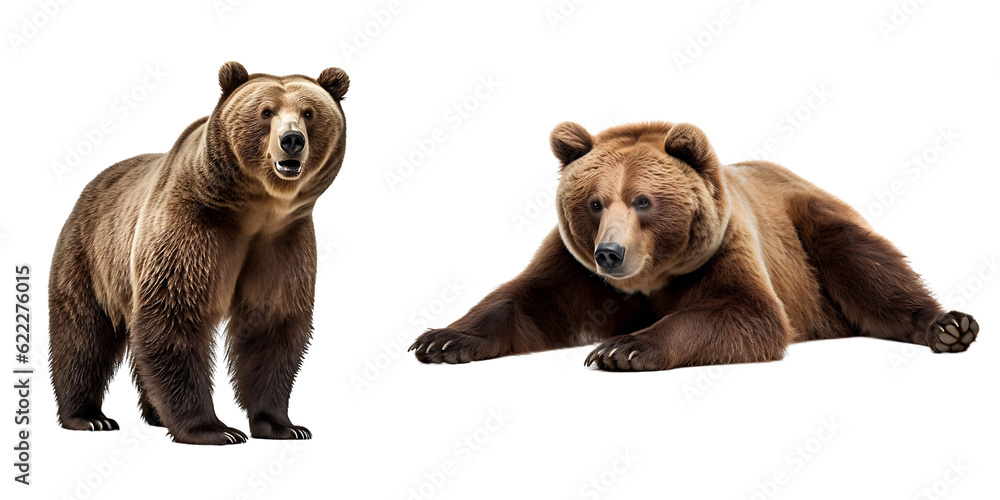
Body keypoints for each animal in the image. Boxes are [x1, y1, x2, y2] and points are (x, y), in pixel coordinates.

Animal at [48, 61, 349, 444]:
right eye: (266, 111)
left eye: (309, 113)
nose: (292, 140)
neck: (257, 210)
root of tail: (91, 184)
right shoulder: (194, 227)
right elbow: (176, 312)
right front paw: (215, 429)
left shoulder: (283, 243)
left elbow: (272, 324)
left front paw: (284, 425)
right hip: (90, 256)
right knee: (83, 336)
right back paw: (88, 416)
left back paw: (154, 414)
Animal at [410, 121, 979, 370]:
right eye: (594, 202)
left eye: (643, 200)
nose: (610, 253)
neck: (650, 277)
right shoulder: (577, 269)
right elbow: (528, 300)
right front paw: (441, 340)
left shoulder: (724, 250)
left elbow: (743, 311)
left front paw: (623, 348)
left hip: (812, 226)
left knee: (868, 264)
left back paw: (948, 326)